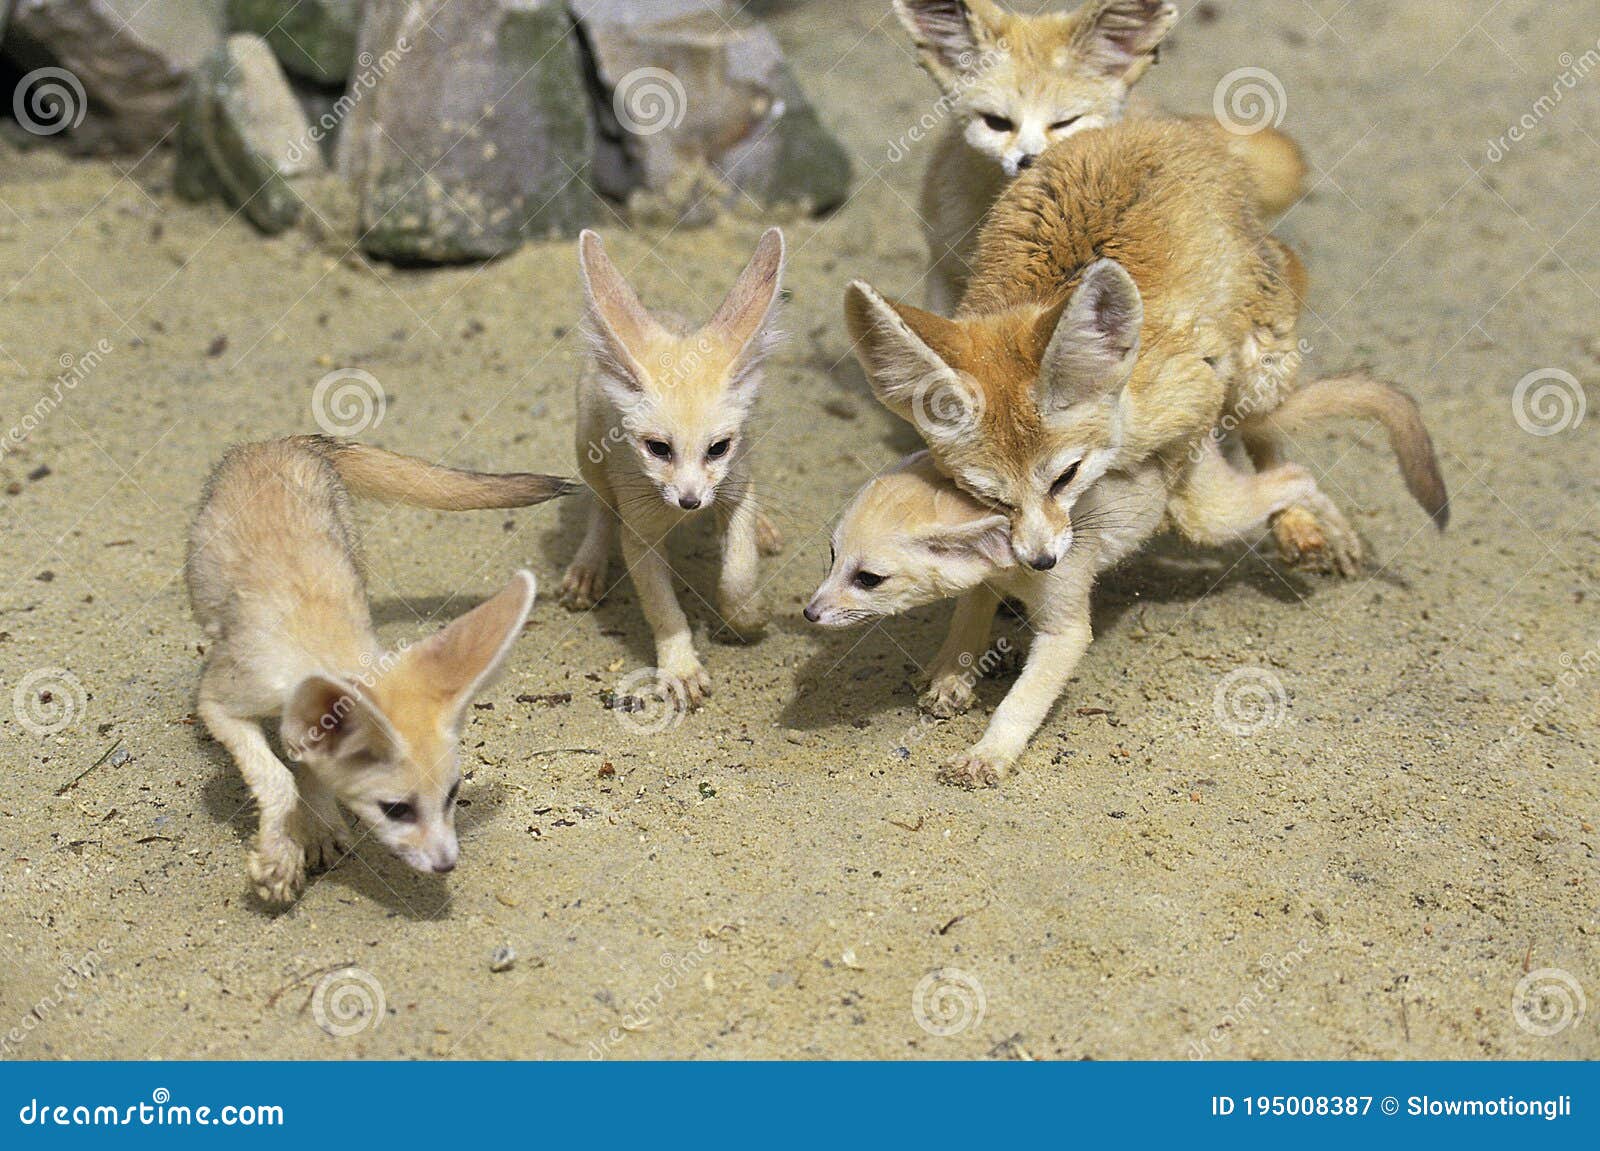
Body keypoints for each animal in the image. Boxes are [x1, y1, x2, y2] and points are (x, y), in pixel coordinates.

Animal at [186, 435, 569, 903]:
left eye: (453, 794)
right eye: (397, 810)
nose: (447, 864)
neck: (324, 646)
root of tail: (279, 442)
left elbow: (309, 773)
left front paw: (319, 828)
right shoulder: (221, 701)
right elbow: (276, 778)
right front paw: (280, 857)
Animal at [561, 228, 786, 710]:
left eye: (718, 448)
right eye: (658, 449)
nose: (690, 502)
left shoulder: (736, 484)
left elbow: (739, 570)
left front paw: (748, 614)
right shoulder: (639, 533)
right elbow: (662, 608)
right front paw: (680, 667)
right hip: (588, 453)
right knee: (601, 508)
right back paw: (587, 566)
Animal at [846, 117, 1448, 585]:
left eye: (1065, 477)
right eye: (988, 497)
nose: (1039, 562)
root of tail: (1165, 123)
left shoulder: (1196, 398)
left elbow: (1197, 510)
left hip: (1262, 370)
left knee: (1267, 413)